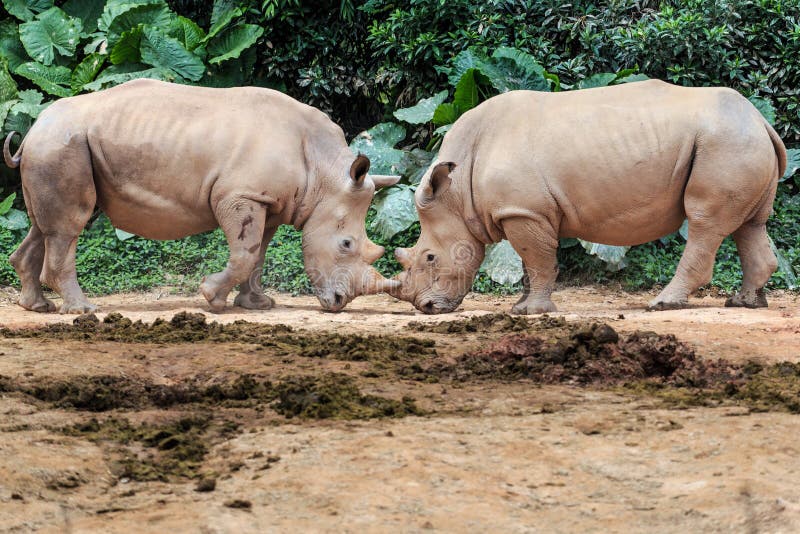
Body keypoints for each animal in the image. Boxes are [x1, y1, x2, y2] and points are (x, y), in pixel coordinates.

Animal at [4, 79, 399, 314]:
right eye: (346, 244)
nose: (339, 303)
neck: (324, 173)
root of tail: (34, 127)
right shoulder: (239, 195)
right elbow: (244, 253)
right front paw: (211, 297)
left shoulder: (269, 202)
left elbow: (257, 253)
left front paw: (256, 304)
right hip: (61, 144)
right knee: (69, 225)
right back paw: (82, 311)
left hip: (52, 145)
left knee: (44, 225)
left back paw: (37, 307)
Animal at [391, 80, 787, 314]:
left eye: (429, 257)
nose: (425, 307)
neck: (457, 194)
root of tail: (761, 121)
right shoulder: (526, 211)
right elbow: (528, 263)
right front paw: (521, 306)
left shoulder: (523, 211)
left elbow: (536, 259)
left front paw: (531, 312)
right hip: (738, 141)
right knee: (750, 224)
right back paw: (745, 303)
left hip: (725, 143)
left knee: (705, 223)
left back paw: (662, 304)